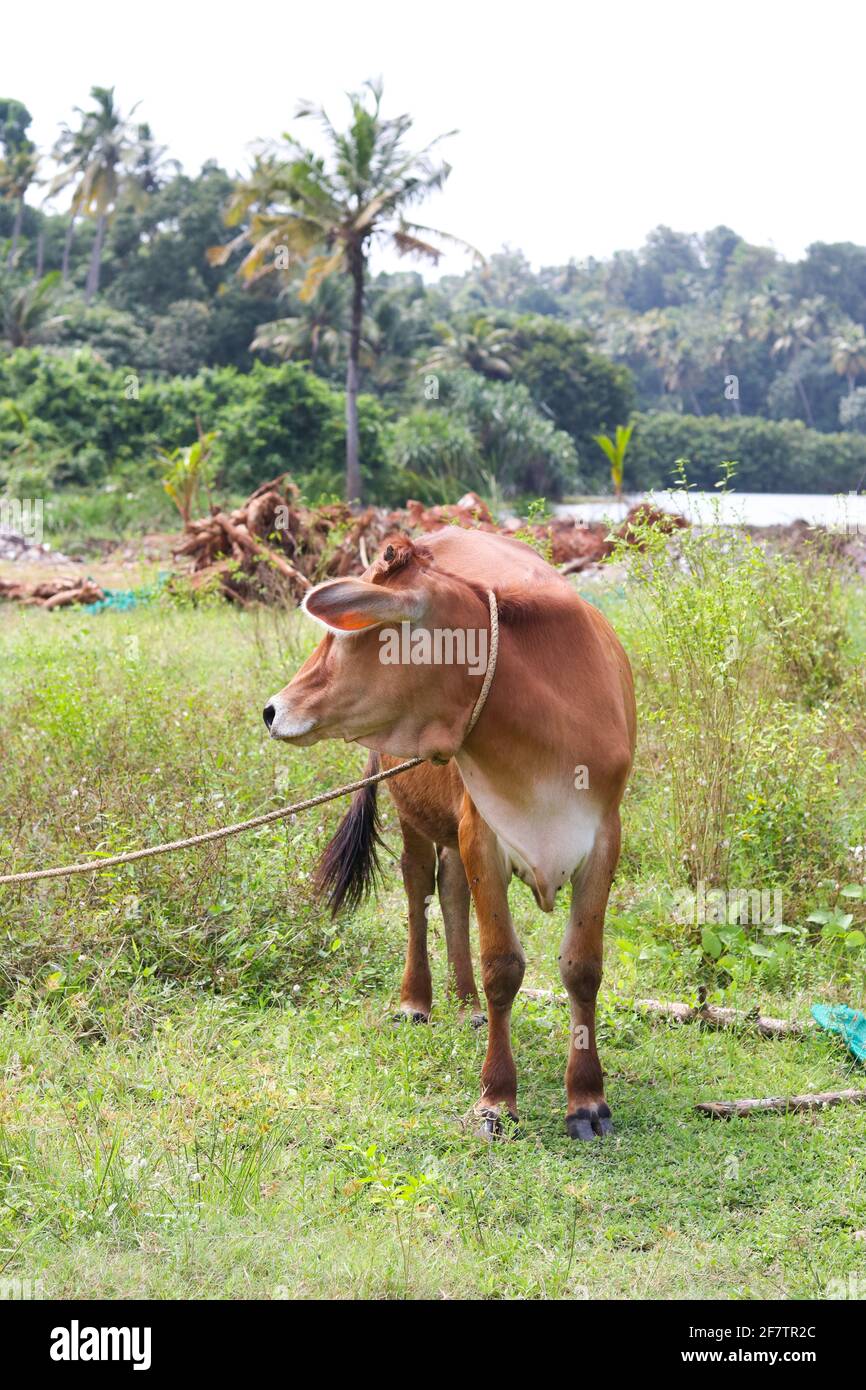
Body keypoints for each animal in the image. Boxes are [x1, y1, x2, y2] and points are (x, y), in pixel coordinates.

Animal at [263, 526, 635, 1140]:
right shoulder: (483, 830)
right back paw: (417, 1001)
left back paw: (467, 1006)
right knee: (418, 887)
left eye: (340, 637)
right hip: (413, 808)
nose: (271, 710)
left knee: (453, 891)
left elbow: (582, 968)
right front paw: (497, 1100)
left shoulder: (604, 837)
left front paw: (587, 1100)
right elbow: (503, 965)